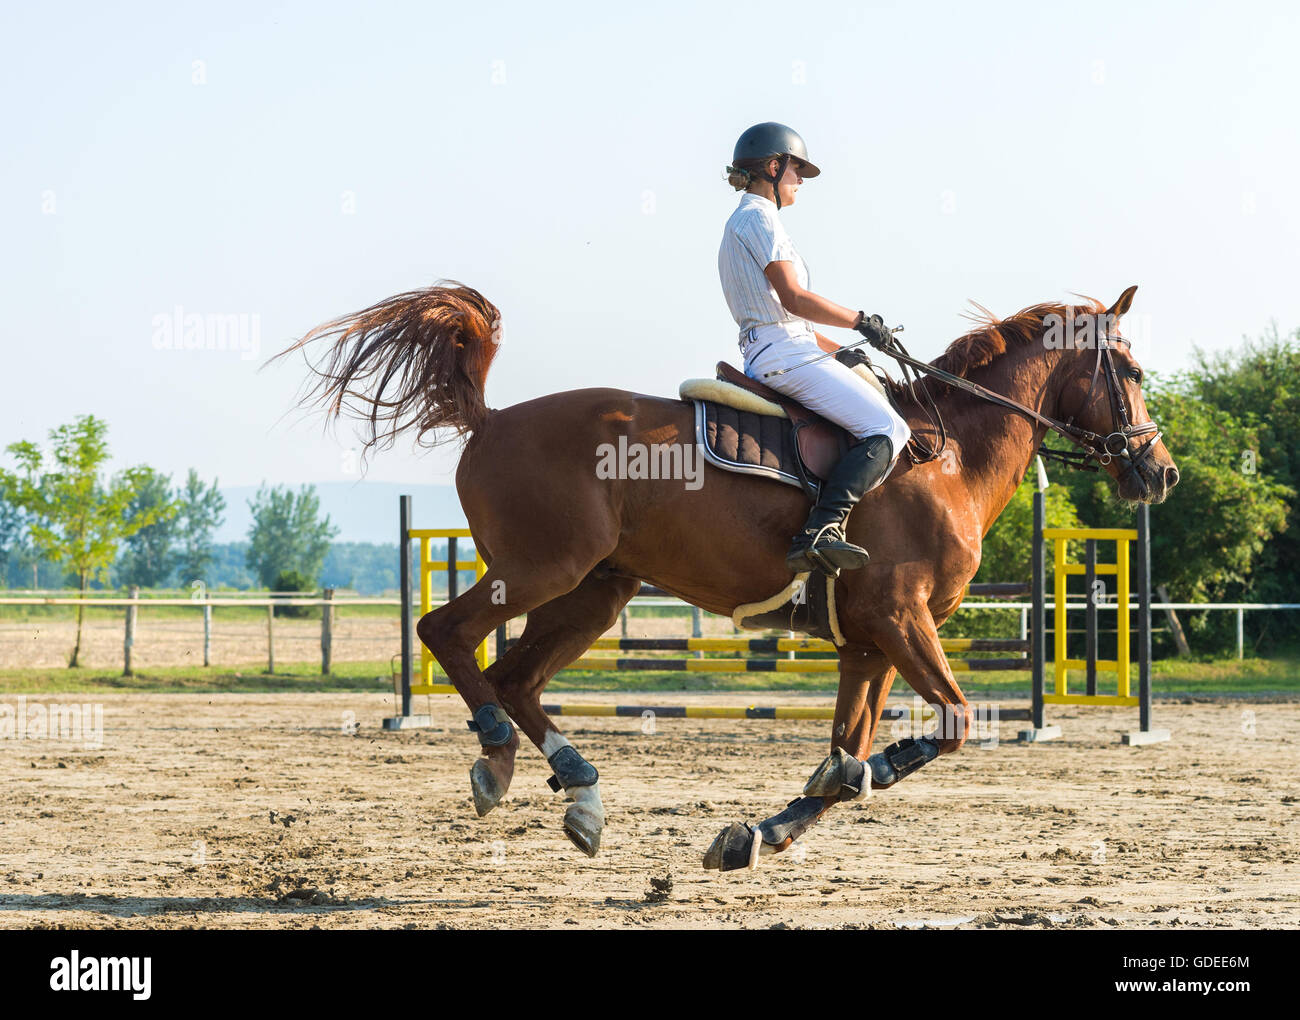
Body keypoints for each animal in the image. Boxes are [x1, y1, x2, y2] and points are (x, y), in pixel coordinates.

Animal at [279, 282, 1178, 871]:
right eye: (1132, 373)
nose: (1160, 473)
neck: (947, 455)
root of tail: (493, 419)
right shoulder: (901, 620)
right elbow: (948, 725)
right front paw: (860, 779)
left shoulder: (870, 644)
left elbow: (846, 750)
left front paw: (760, 833)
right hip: (543, 570)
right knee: (450, 635)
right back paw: (498, 758)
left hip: (593, 592)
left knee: (515, 675)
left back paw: (581, 793)